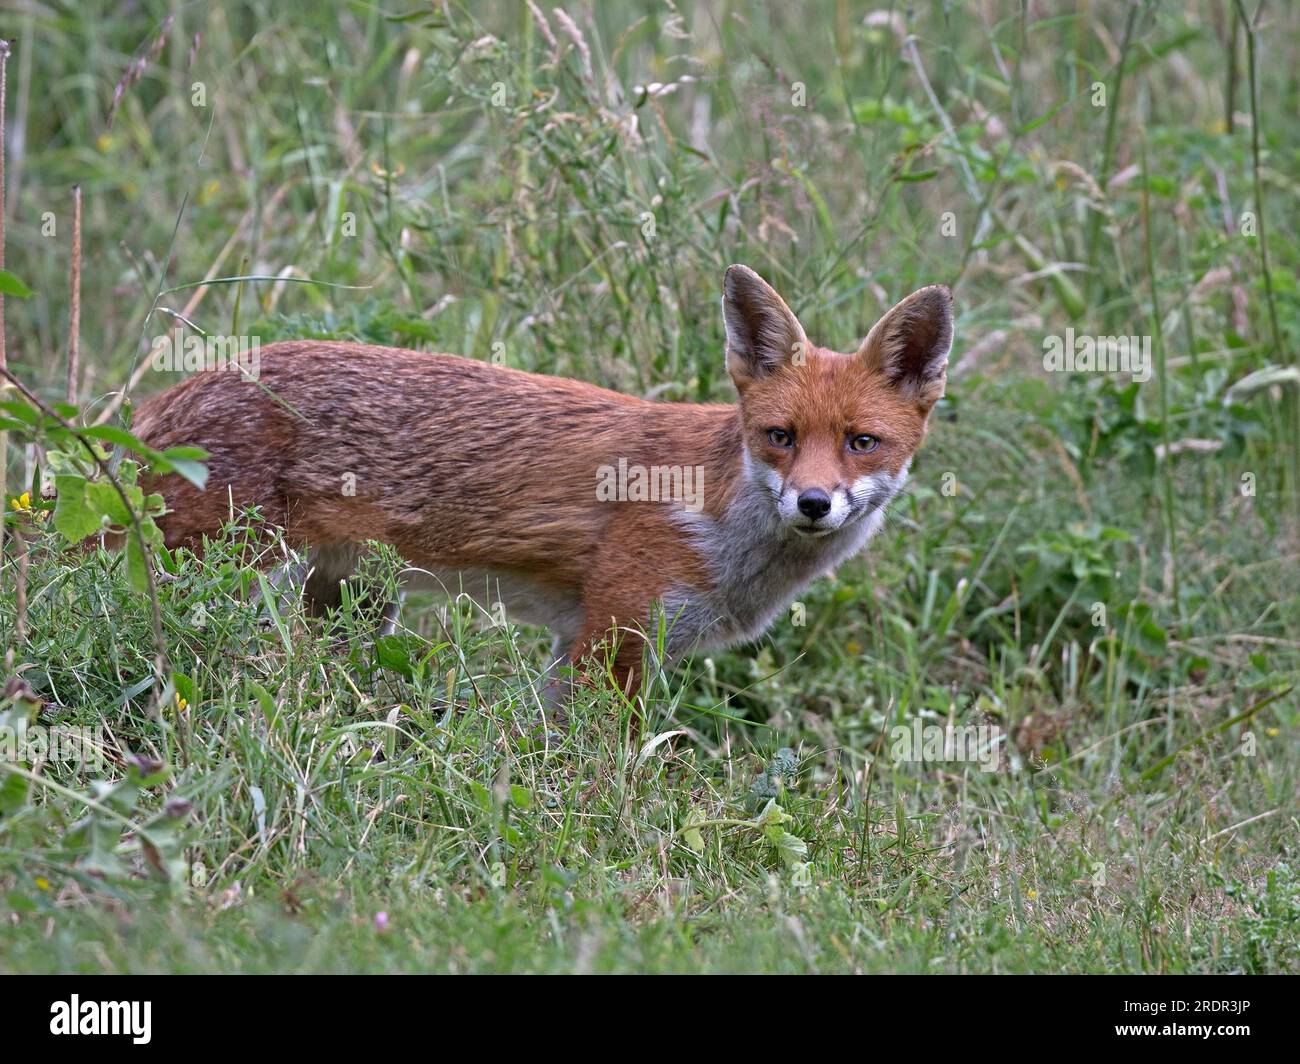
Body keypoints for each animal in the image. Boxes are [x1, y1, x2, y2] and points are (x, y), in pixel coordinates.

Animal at [132, 266, 954, 700]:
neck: (718, 525)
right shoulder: (615, 641)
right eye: (780, 438)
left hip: (353, 604)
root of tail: (171, 392)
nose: (813, 503)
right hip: (206, 568)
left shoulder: (577, 644)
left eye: (861, 443)